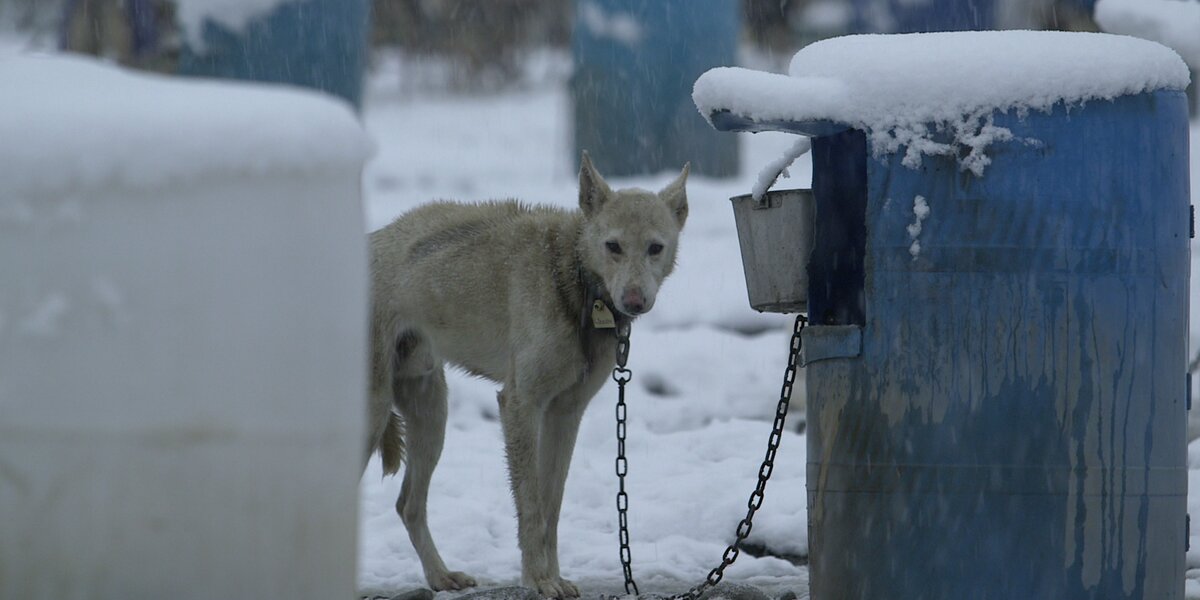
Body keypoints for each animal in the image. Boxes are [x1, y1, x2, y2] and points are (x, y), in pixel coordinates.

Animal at [364, 153, 691, 595]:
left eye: (655, 248)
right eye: (614, 247)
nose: (635, 300)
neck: (572, 279)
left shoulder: (565, 414)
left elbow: (551, 507)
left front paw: (553, 577)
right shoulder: (519, 404)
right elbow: (531, 507)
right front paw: (537, 580)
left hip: (432, 418)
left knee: (408, 505)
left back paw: (440, 576)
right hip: (373, 418)